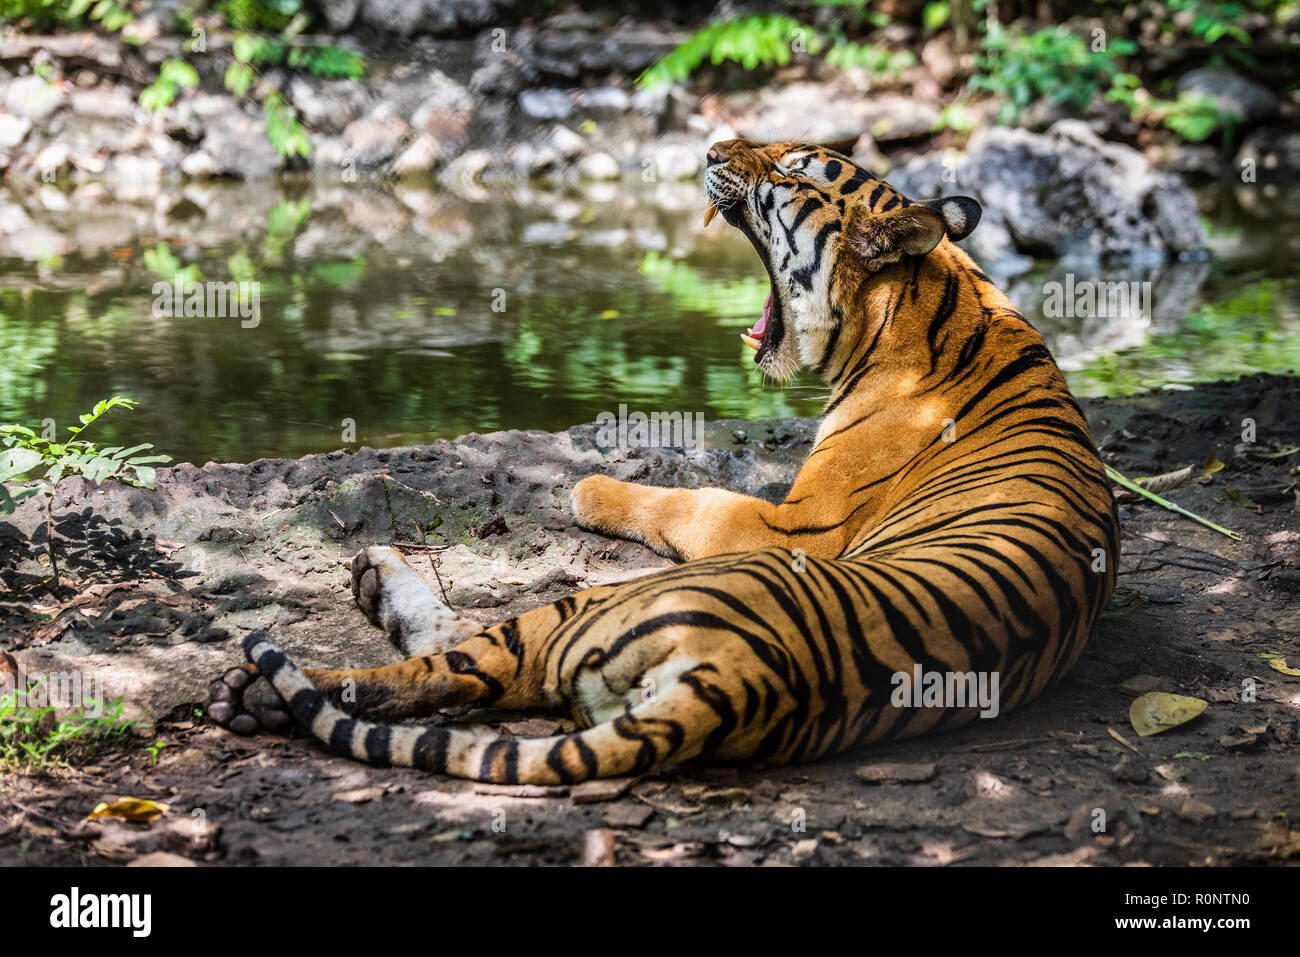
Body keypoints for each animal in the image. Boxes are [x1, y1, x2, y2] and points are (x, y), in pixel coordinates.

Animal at [208, 138, 1120, 785]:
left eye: (793, 168)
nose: (712, 148)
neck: (925, 302)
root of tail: (735, 680)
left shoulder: (791, 526)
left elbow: (686, 496)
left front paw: (587, 485)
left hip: (593, 605)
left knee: (458, 655)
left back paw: (277, 667)